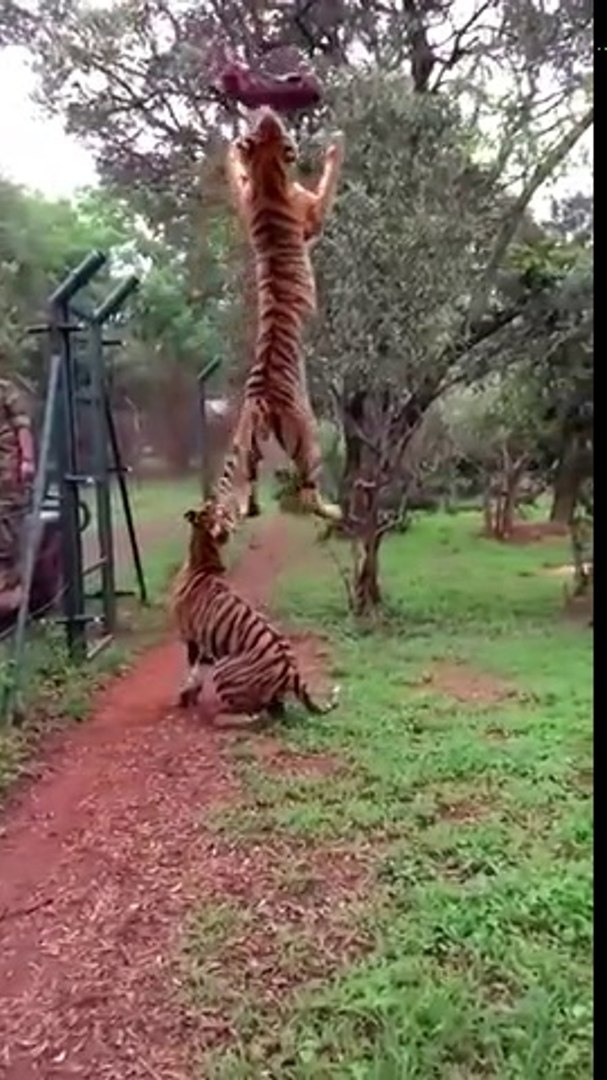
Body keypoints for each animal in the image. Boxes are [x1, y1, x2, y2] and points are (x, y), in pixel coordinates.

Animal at [169, 504, 340, 721]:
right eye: (215, 512)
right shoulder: (205, 643)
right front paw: (190, 696)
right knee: (274, 710)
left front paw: (185, 697)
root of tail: (291, 672)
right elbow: (199, 670)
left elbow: (193, 672)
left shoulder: (190, 637)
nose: (227, 528)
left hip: (223, 668)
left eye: (222, 513)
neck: (205, 560)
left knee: (254, 714)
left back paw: (221, 717)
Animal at [214, 107, 345, 532]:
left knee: (244, 487)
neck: (268, 174)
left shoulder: (245, 200)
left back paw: (249, 508)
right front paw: (336, 146)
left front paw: (229, 151)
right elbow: (329, 183)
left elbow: (234, 176)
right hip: (309, 437)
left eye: (261, 125)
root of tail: (260, 396)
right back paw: (333, 510)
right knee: (307, 491)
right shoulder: (314, 214)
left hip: (249, 444)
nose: (267, 109)